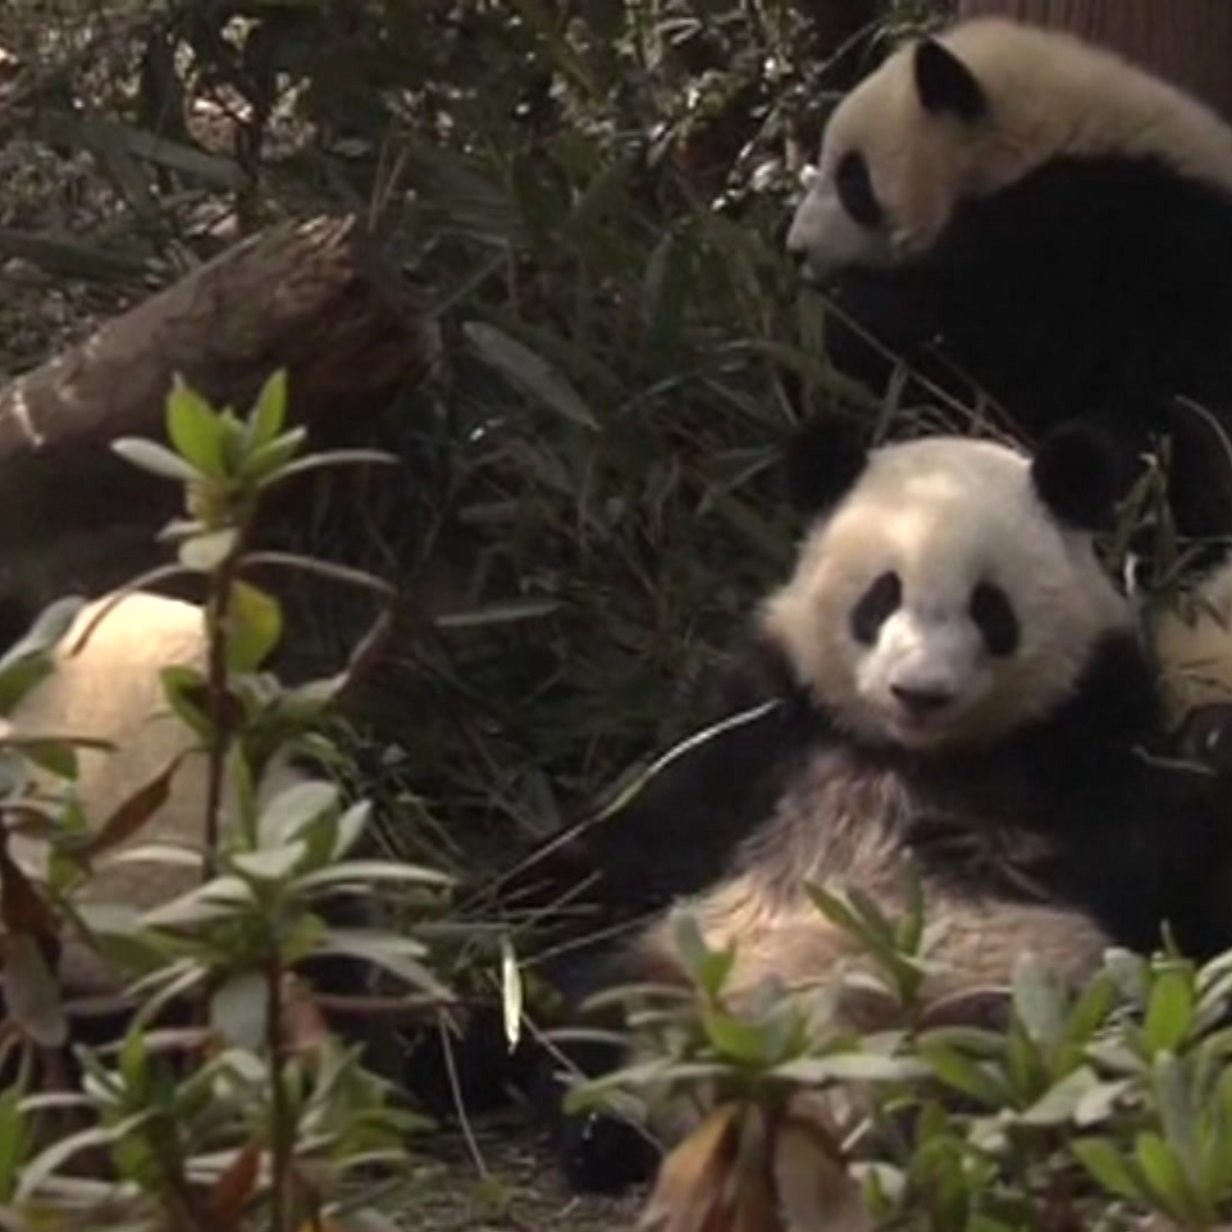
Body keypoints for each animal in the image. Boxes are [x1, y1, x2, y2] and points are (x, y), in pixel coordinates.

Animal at [535, 419, 1232, 1195]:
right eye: (881, 598)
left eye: (990, 609)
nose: (918, 692)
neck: (915, 755)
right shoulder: (774, 726)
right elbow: (654, 834)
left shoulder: (1089, 724)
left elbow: (1150, 857)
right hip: (682, 965)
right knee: (592, 1012)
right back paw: (600, 1132)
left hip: (1032, 998)